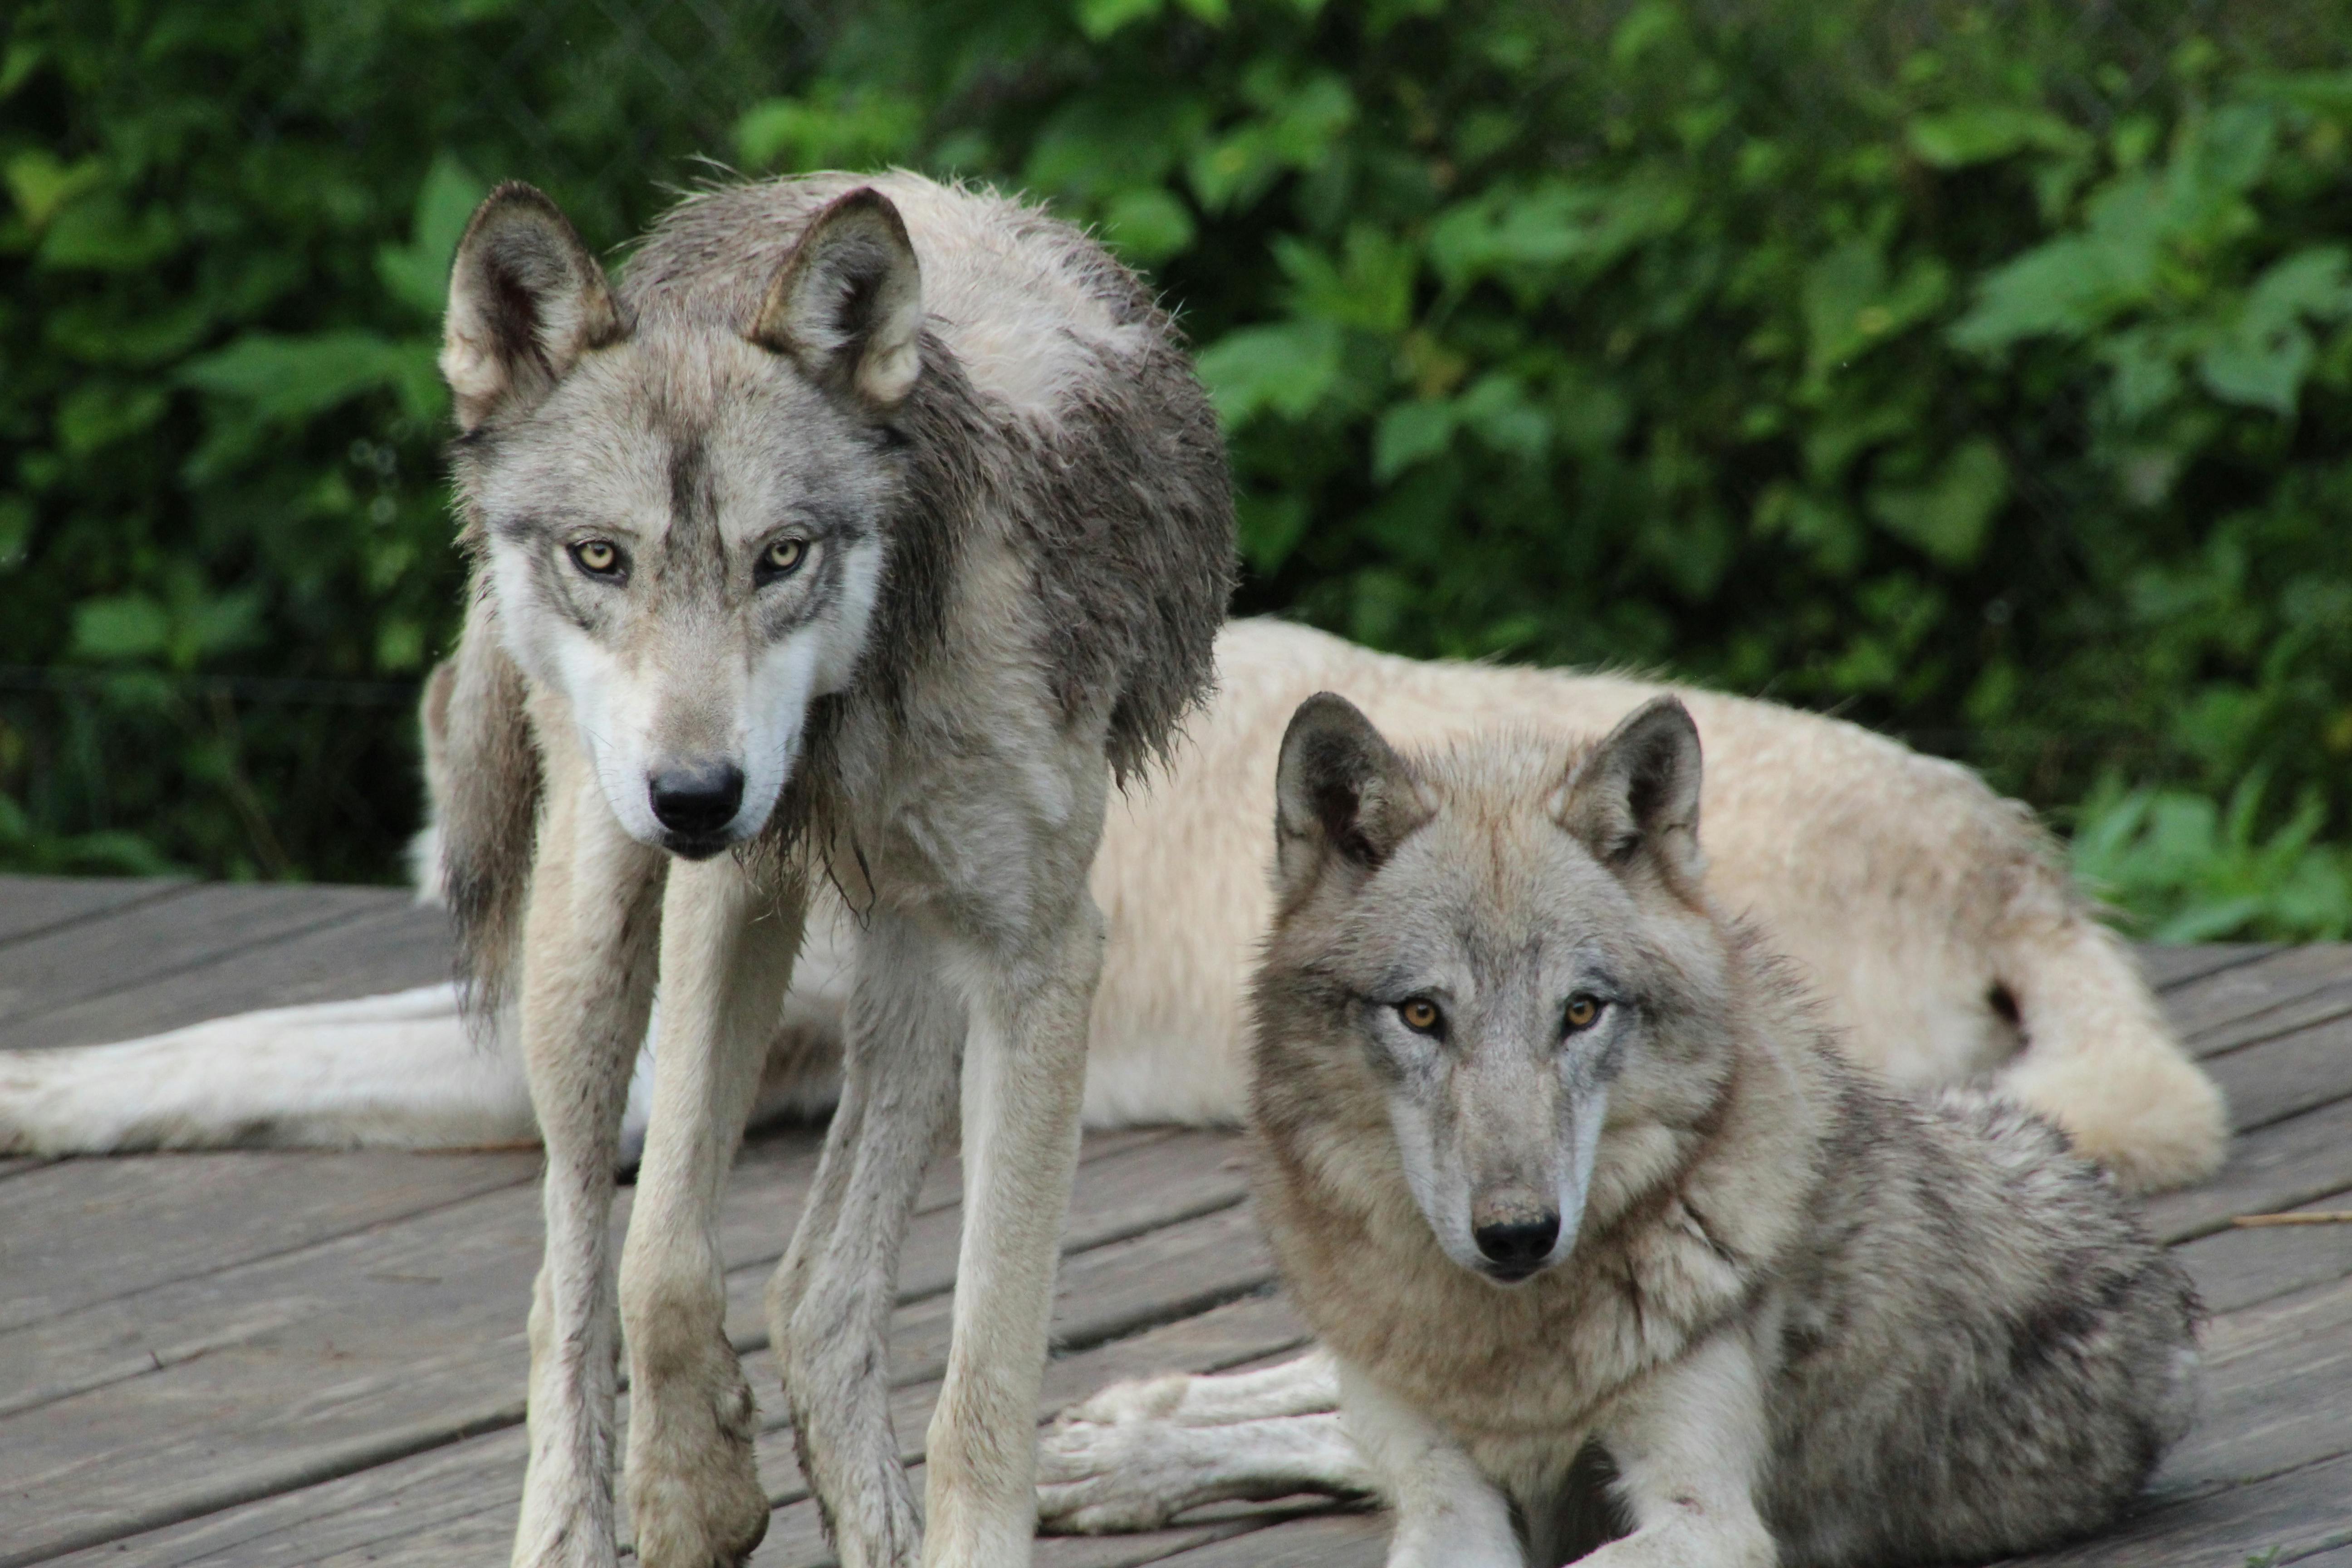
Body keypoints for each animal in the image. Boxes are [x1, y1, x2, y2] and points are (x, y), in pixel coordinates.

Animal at [416, 169, 1233, 1568]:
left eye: (781, 556)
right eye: (601, 557)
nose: (697, 792)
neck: (861, 702)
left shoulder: (1039, 960)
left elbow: (983, 1379)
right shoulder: (725, 889)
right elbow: (660, 1263)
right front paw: (691, 1494)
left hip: (916, 951)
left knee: (815, 1293)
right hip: (597, 930)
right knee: (572, 1258)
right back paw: (570, 1526)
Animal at [1039, 694, 2200, 1567]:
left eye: (1581, 1011)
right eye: (1421, 1014)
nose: (1517, 1234)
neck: (1502, 1349)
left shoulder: (1709, 1518)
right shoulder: (1449, 1500)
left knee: (1332, 1429)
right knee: (1326, 1389)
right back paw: (1121, 1433)